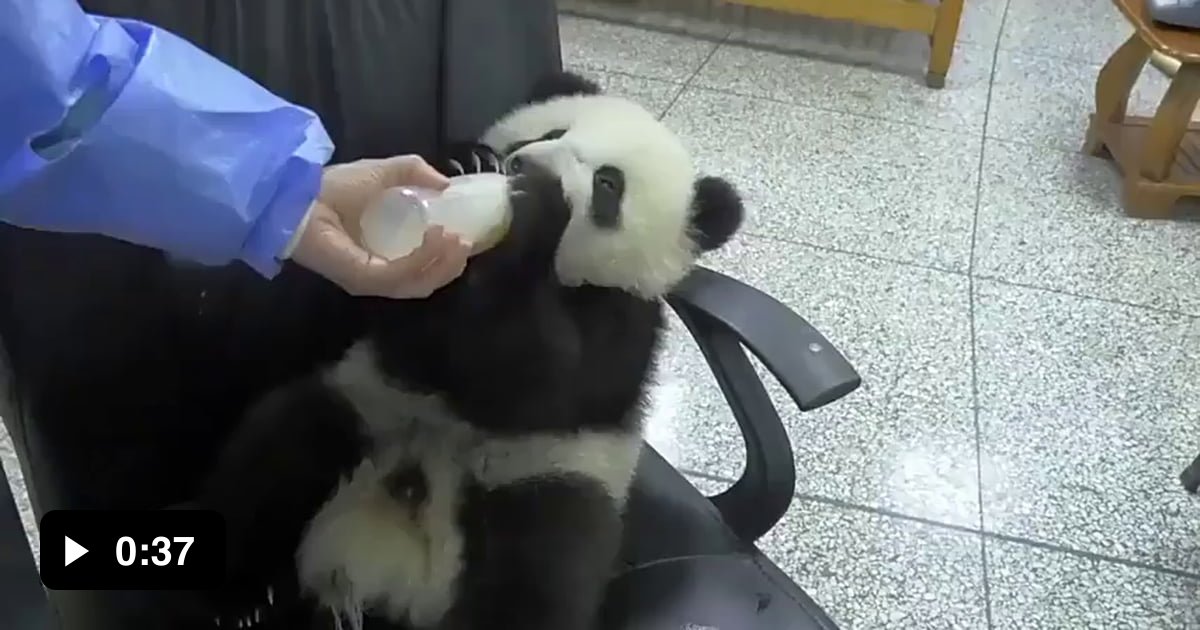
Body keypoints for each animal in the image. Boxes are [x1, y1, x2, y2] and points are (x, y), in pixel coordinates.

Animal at [190, 70, 745, 630]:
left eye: (609, 184)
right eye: (549, 133)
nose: (526, 166)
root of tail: (386, 589)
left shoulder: (621, 325)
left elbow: (537, 380)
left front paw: (535, 207)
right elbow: (388, 325)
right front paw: (465, 161)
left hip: (541, 476)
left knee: (539, 569)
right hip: (364, 409)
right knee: (279, 454)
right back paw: (240, 599)